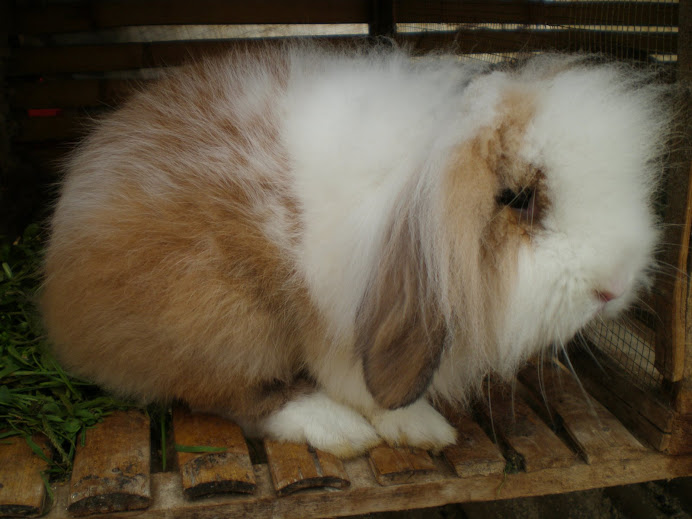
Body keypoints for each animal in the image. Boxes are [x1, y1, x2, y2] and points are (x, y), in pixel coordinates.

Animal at [40, 43, 671, 457]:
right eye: (517, 198)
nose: (614, 287)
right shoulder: (337, 324)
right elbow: (360, 385)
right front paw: (418, 426)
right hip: (216, 313)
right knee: (225, 394)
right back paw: (335, 429)